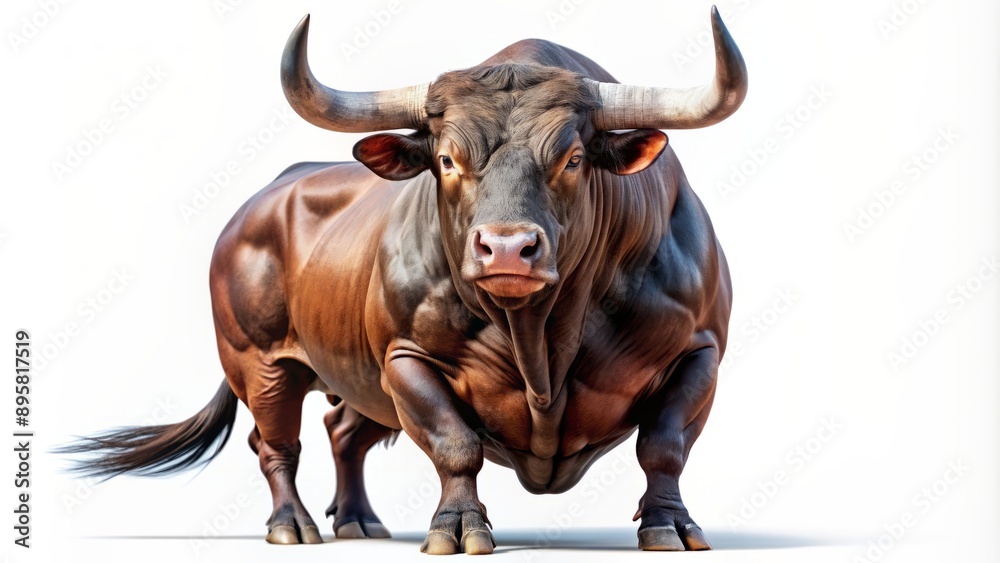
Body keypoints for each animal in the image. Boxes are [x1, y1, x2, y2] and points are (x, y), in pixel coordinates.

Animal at [63, 6, 747, 554]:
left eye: (574, 159)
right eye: (446, 159)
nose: (507, 248)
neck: (541, 340)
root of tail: (264, 199)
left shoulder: (700, 354)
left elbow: (662, 445)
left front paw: (669, 526)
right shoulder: (405, 357)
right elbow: (454, 444)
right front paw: (458, 528)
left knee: (343, 433)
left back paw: (359, 522)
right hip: (260, 362)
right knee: (276, 444)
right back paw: (292, 525)